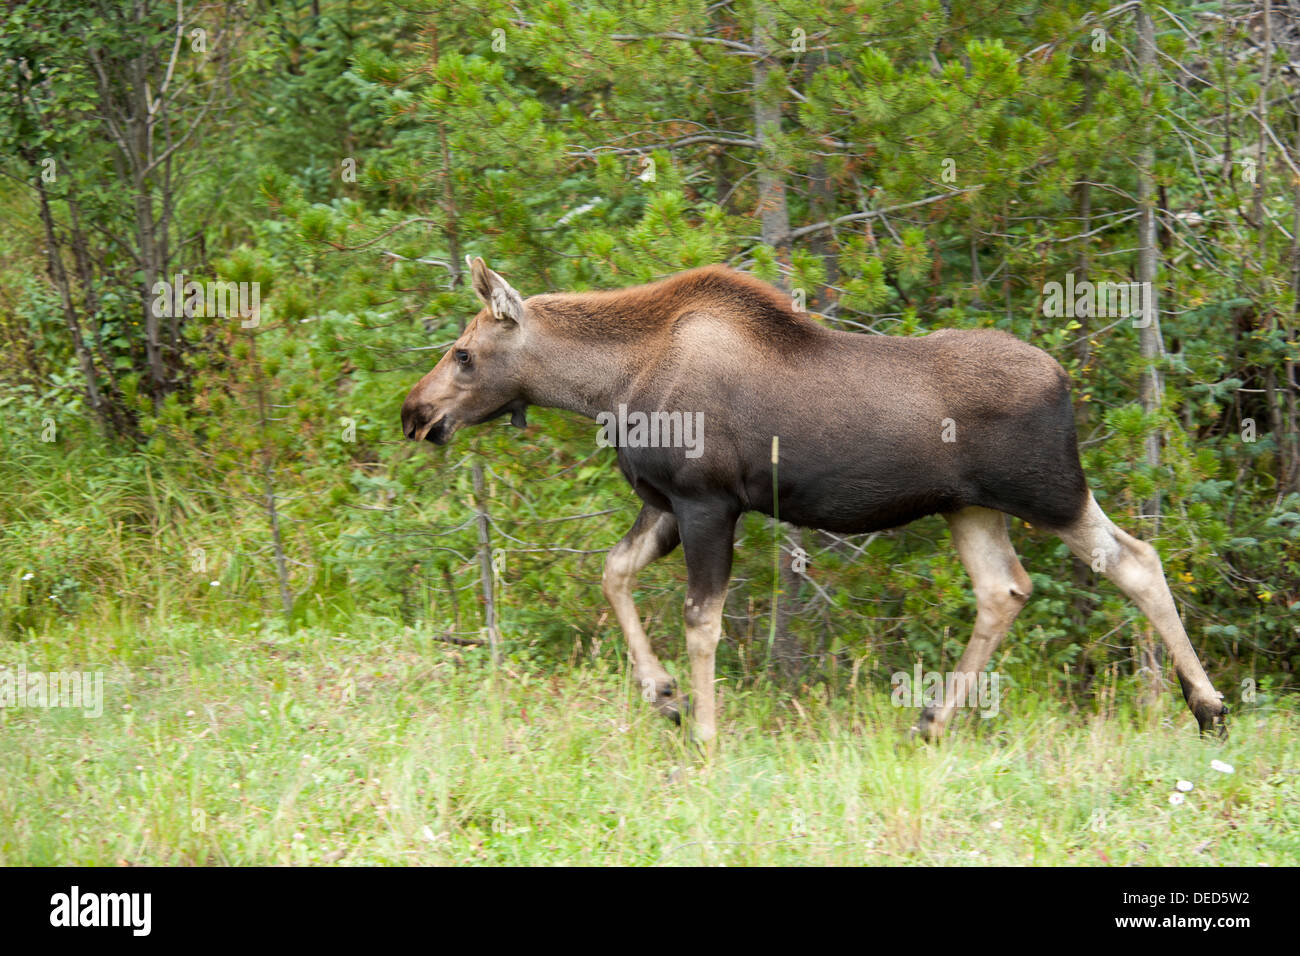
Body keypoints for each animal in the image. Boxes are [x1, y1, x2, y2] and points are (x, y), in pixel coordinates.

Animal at [400, 257, 1228, 747]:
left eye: (463, 352)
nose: (414, 413)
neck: (609, 386)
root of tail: (1064, 382)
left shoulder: (706, 502)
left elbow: (702, 622)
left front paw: (704, 730)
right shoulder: (664, 504)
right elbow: (612, 573)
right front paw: (662, 695)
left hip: (1049, 491)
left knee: (1137, 560)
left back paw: (1210, 706)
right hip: (970, 507)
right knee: (1005, 589)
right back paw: (933, 719)